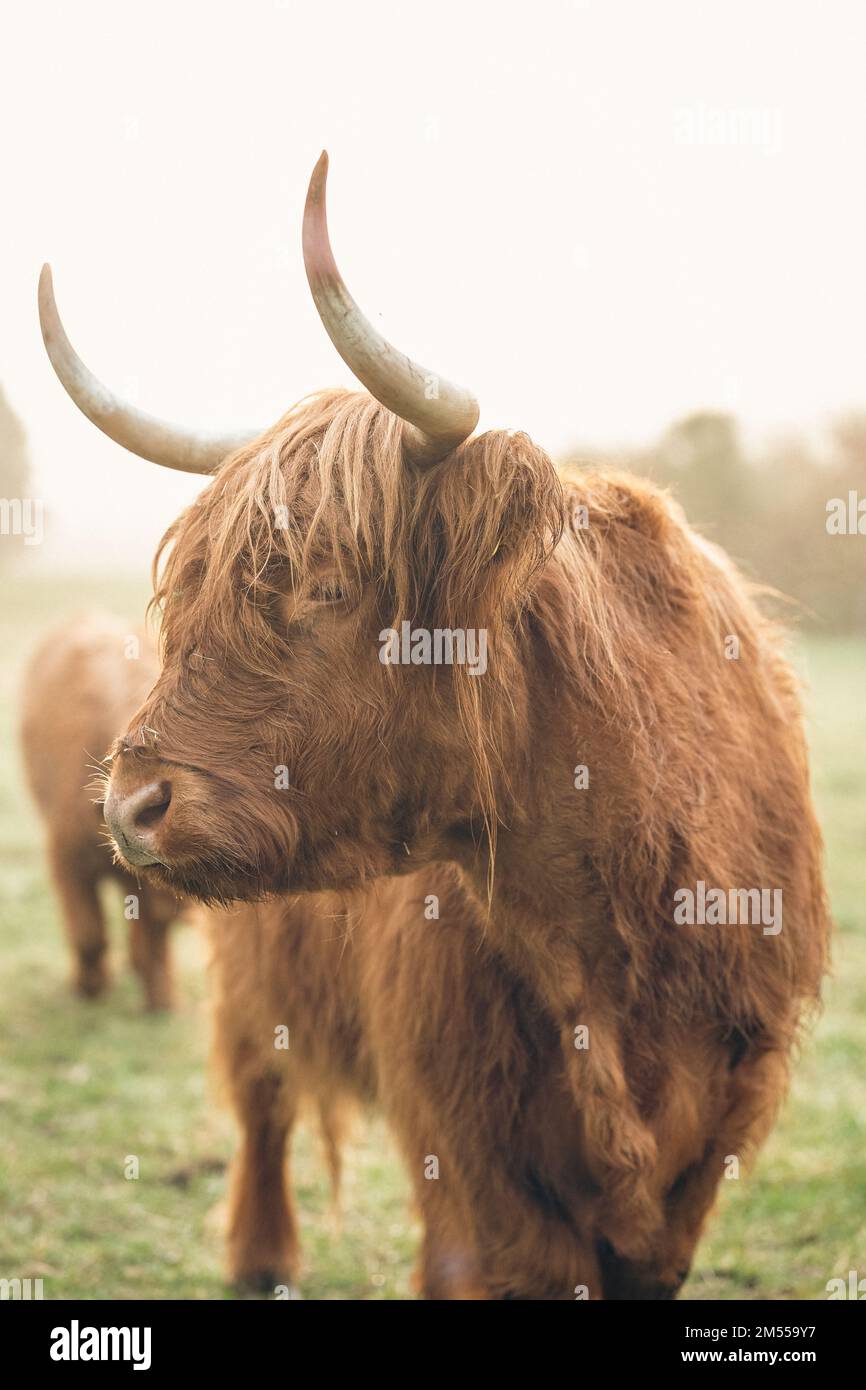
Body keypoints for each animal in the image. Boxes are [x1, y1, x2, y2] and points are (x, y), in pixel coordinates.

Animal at [38, 152, 830, 1297]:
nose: (130, 803)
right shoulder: (473, 1131)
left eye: (324, 583)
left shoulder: (715, 1125)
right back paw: (261, 1256)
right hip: (257, 979)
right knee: (263, 1095)